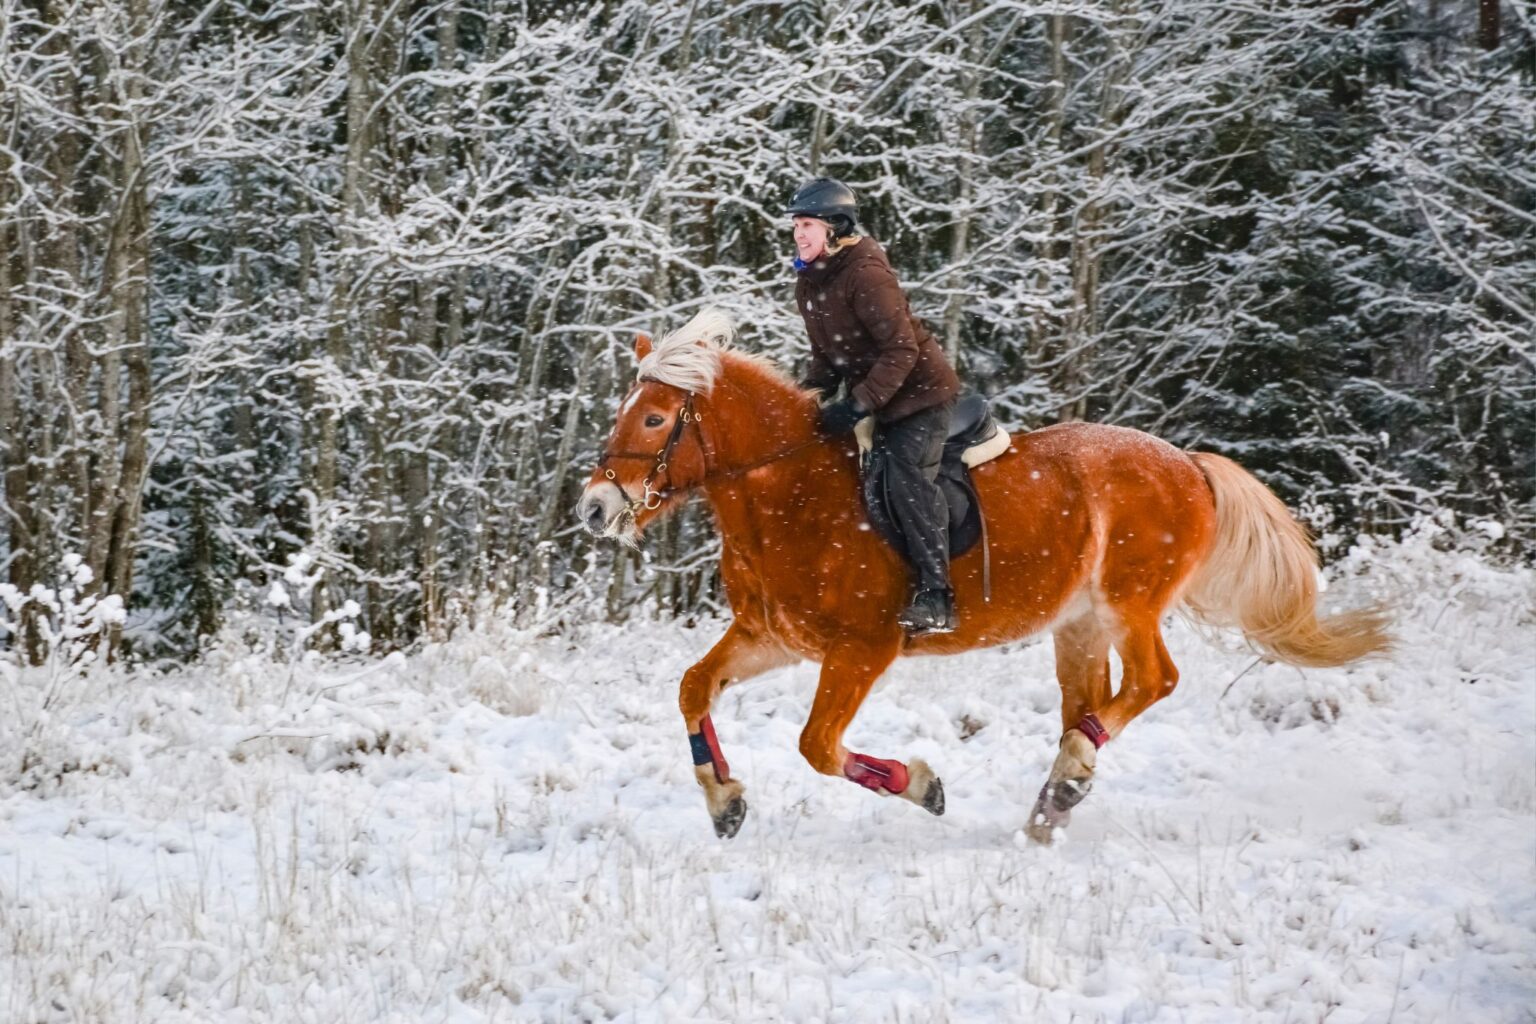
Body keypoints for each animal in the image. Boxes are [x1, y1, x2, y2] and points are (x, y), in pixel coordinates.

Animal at [576, 309, 1391, 843]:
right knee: (1089, 702)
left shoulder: (861, 649)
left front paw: (925, 786)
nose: (593, 508)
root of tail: (1188, 464)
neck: (789, 491)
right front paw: (725, 804)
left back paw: (1069, 774)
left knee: (1153, 680)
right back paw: (1055, 800)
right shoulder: (770, 637)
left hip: (1129, 603)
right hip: (1079, 624)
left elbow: (817, 744)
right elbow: (693, 688)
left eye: (654, 419)